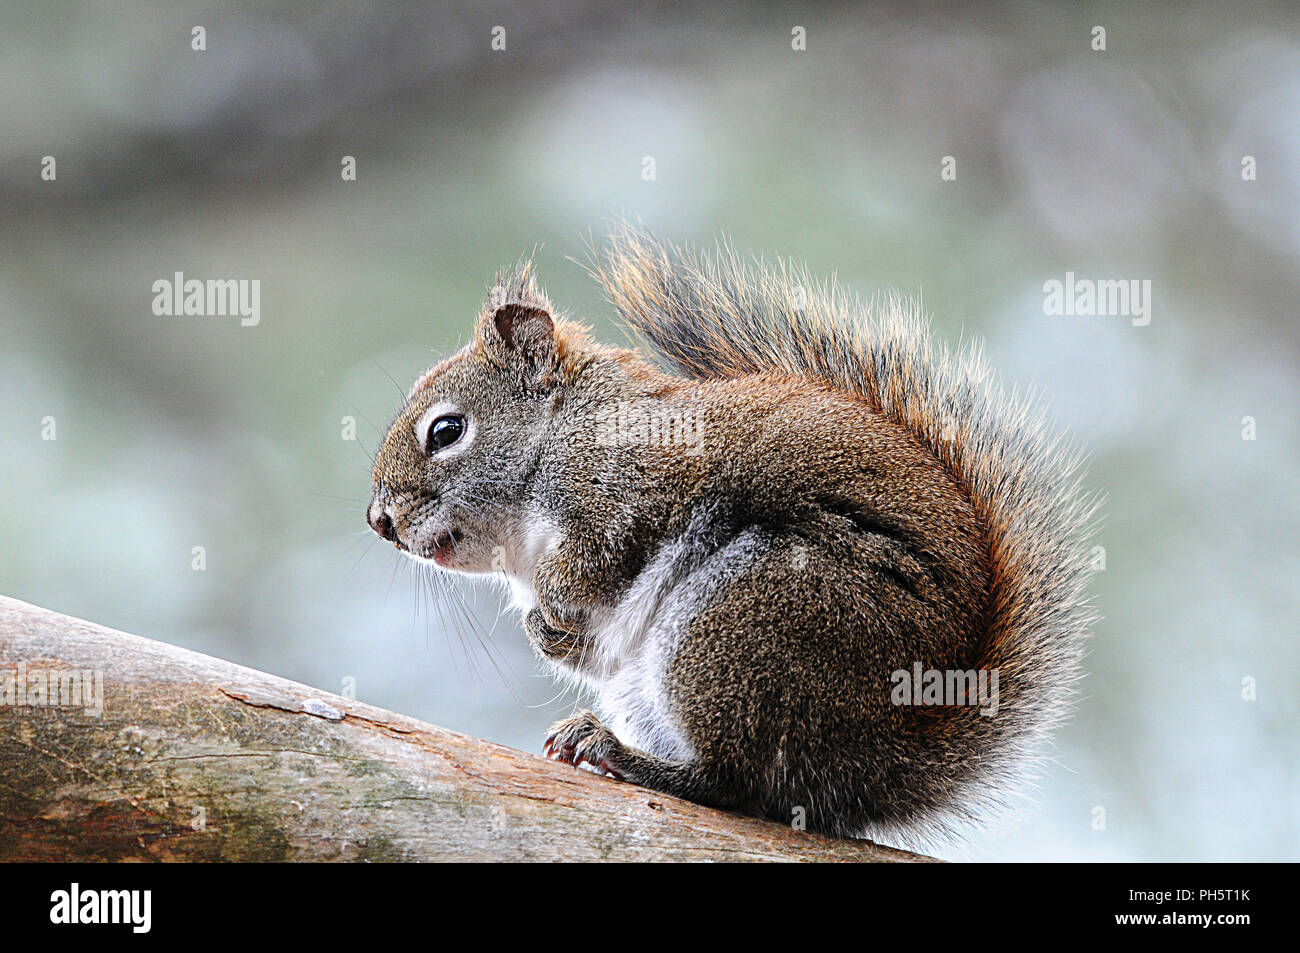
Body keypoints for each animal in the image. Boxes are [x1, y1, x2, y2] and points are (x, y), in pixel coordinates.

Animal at [367, 224, 1097, 845]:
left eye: (447, 430)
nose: (380, 521)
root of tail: (885, 755)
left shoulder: (633, 487)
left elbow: (598, 558)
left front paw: (551, 603)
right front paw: (544, 631)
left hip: (743, 622)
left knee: (736, 784)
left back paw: (622, 754)